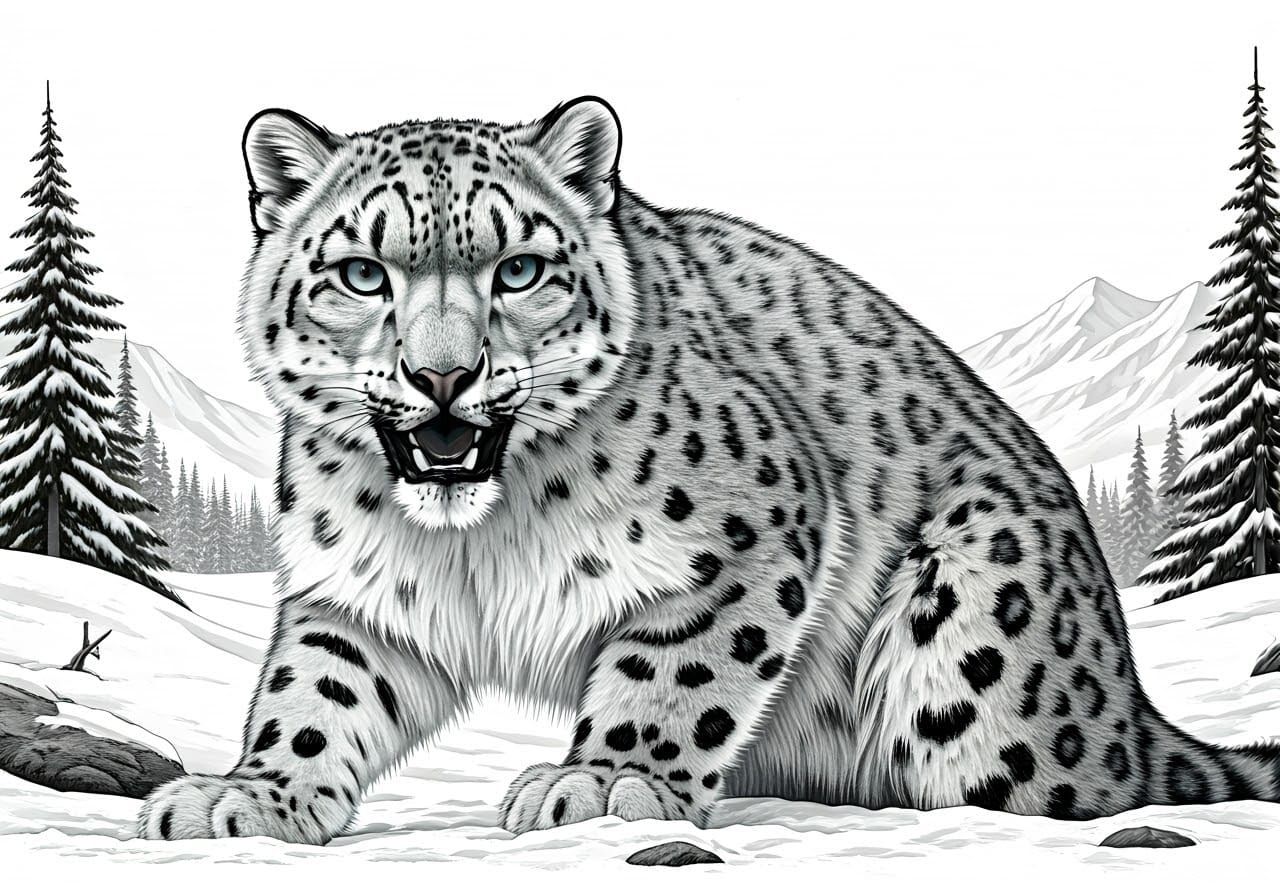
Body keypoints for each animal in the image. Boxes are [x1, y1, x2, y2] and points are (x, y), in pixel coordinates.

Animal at [139, 97, 1280, 844]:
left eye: (520, 268)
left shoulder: (751, 533)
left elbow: (676, 667)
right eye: (362, 272)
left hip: (973, 639)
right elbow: (316, 691)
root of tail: (1128, 699)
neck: (473, 535)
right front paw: (250, 793)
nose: (443, 374)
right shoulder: (360, 589)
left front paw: (609, 781)